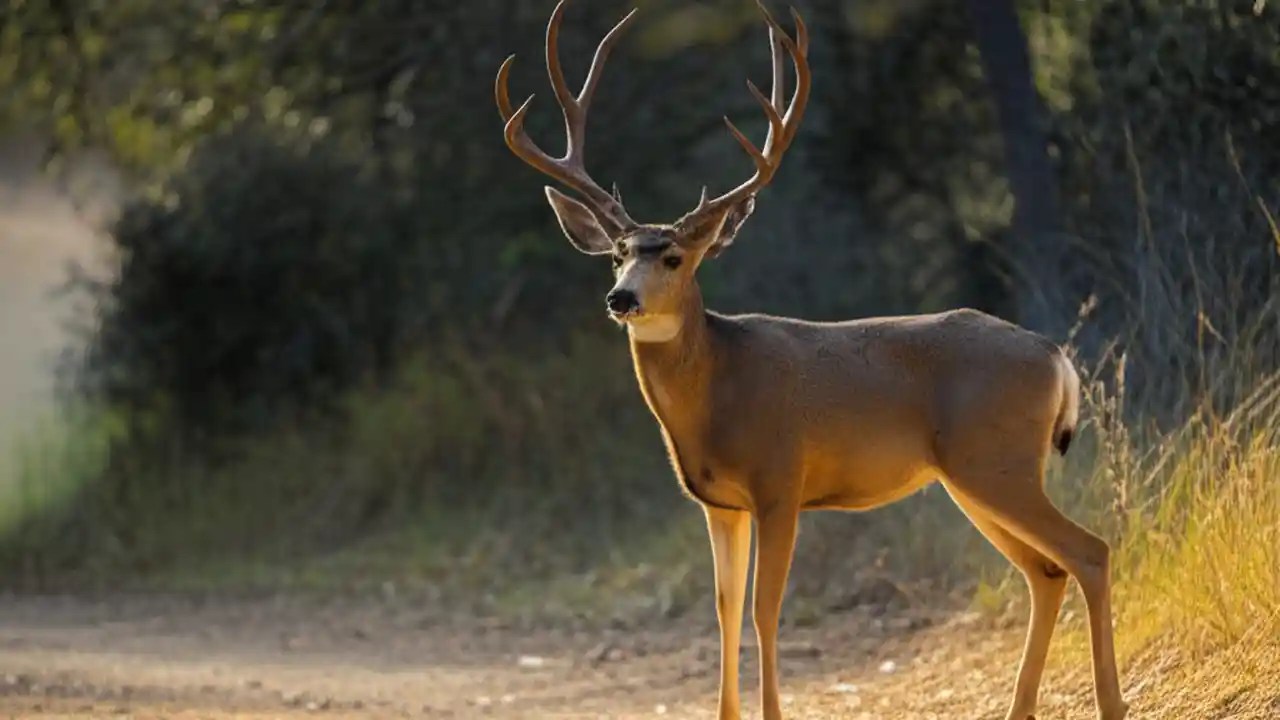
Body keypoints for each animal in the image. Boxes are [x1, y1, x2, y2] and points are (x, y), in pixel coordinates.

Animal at [494, 2, 1127, 719]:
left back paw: (1111, 703)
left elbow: (765, 611)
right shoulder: (718, 504)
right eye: (616, 255)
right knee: (1046, 572)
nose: (621, 297)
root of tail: (1057, 357)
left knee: (1090, 552)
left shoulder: (780, 481)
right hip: (975, 474)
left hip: (995, 462)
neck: (718, 390)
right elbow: (724, 612)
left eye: (675, 257)